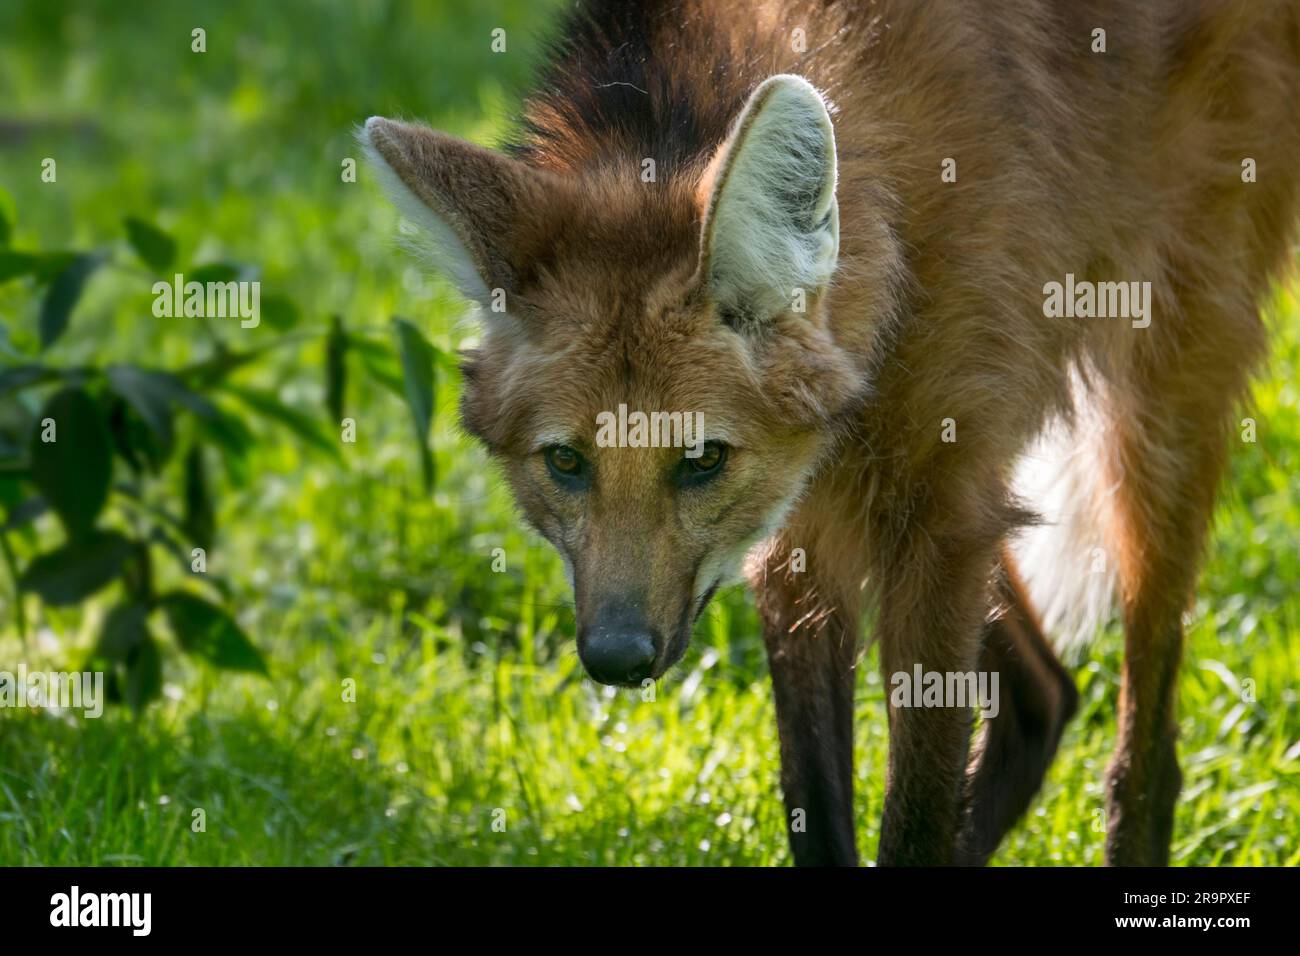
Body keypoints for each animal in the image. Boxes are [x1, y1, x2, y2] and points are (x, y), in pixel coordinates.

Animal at [362, 0, 1300, 865]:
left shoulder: (933, 510)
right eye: (565, 461)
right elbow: (812, 790)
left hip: (1156, 393)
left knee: (1147, 746)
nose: (618, 658)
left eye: (700, 459)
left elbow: (914, 816)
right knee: (1047, 693)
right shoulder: (804, 513)